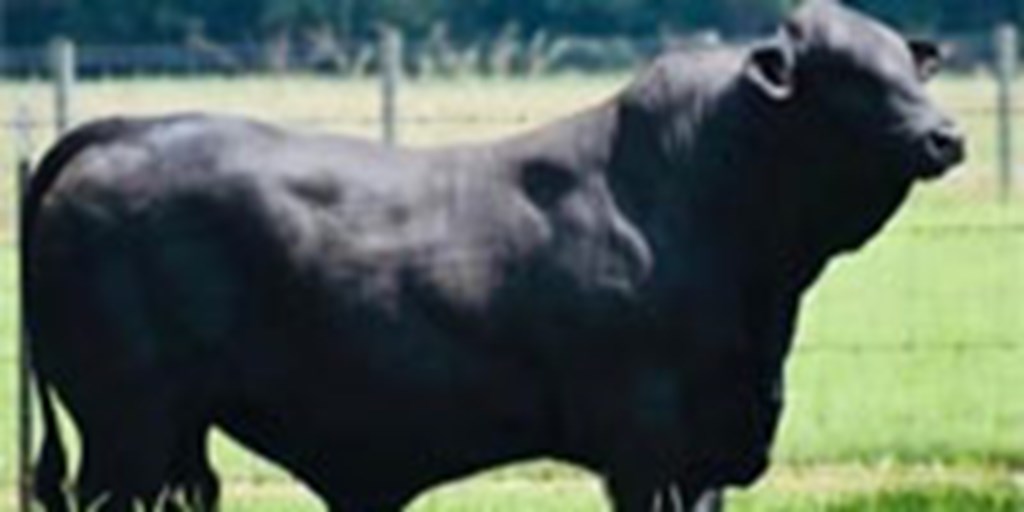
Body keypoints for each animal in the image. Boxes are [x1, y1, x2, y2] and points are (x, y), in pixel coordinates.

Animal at [23, 1, 964, 511]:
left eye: (910, 68)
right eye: (849, 74)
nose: (947, 135)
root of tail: (124, 129)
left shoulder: (706, 451)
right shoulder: (649, 447)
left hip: (174, 440)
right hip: (126, 428)